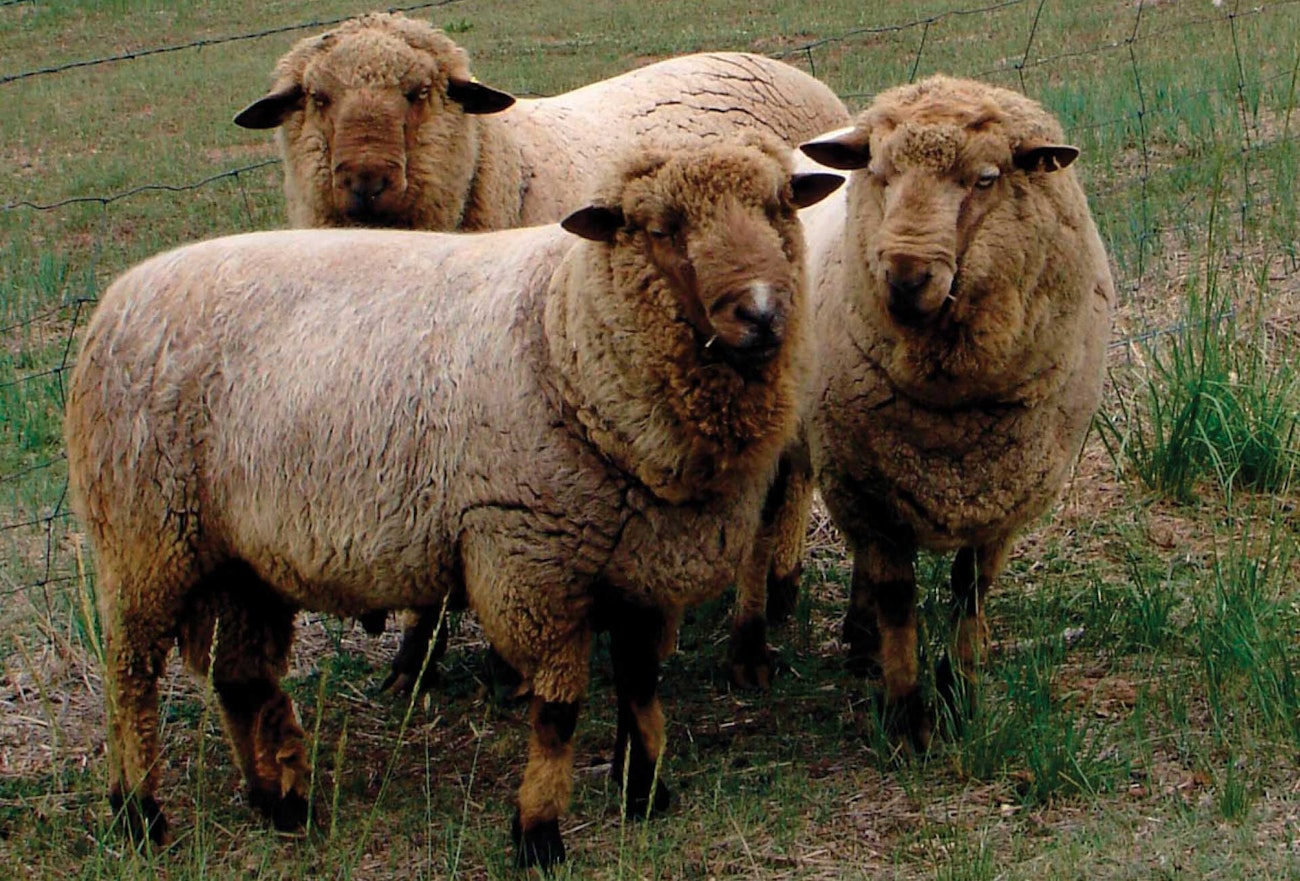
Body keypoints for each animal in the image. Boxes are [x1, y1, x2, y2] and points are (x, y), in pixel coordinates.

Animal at [65, 135, 843, 865]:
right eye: (660, 227)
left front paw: (645, 791)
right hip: (145, 538)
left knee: (239, 677)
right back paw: (139, 814)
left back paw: (279, 802)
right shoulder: (532, 559)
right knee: (131, 679)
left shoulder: (643, 560)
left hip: (241, 556)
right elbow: (559, 710)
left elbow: (641, 684)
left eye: (781, 206)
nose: (762, 314)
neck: (564, 334)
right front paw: (538, 833)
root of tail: (121, 294)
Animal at [730, 76, 1115, 744]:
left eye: (987, 178)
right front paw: (908, 716)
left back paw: (860, 640)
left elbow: (970, 590)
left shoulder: (1002, 491)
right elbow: (899, 596)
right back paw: (750, 652)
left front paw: (959, 692)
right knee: (765, 524)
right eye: (880, 174)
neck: (954, 406)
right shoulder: (865, 481)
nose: (905, 279)